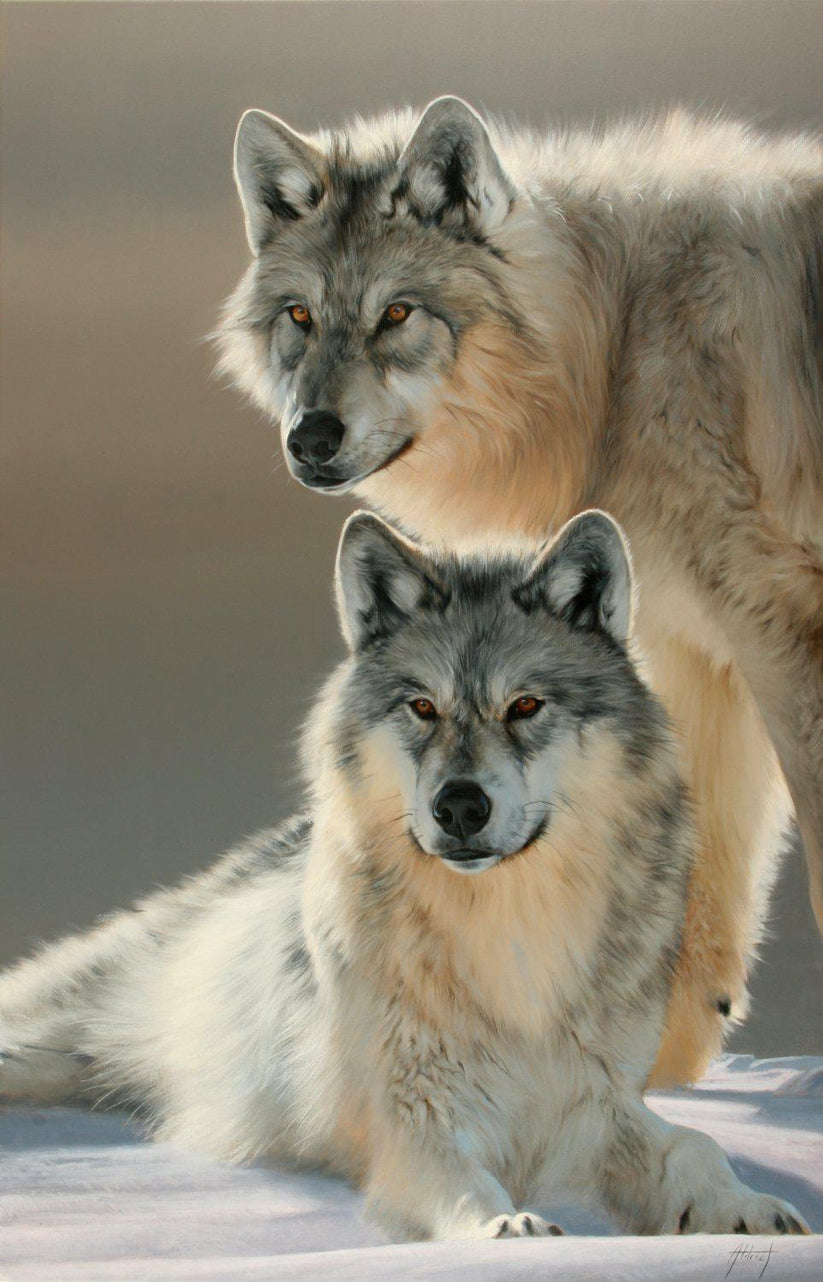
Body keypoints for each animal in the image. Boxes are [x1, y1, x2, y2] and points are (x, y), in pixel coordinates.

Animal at [0, 511, 809, 1240]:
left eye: (524, 705)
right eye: (422, 706)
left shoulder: (595, 1102)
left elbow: (694, 1147)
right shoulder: (414, 1114)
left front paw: (744, 1208)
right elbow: (463, 1181)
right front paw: (507, 1227)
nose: (460, 805)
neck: (510, 927)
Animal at [217, 99, 823, 1086]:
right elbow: (699, 900)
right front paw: (650, 1084)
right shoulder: (701, 657)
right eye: (300, 316)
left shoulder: (781, 637)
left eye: (396, 313)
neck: (619, 345)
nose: (308, 437)